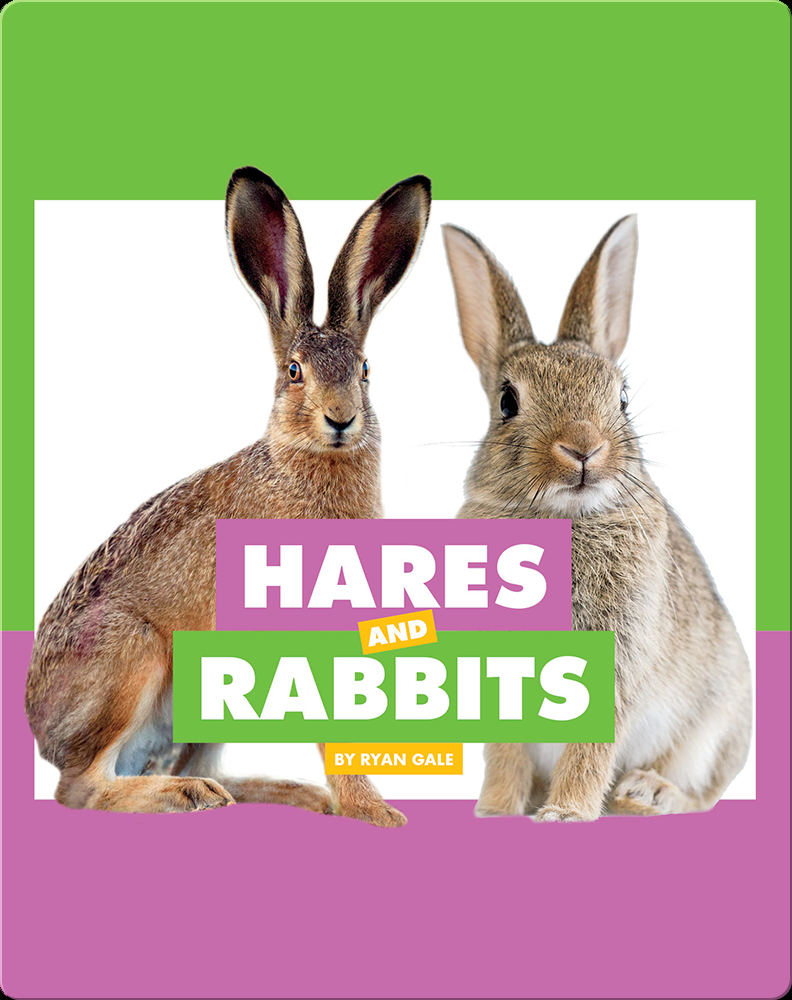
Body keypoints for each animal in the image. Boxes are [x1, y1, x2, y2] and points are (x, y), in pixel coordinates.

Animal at [25, 167, 431, 826]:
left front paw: (359, 805)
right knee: (81, 789)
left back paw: (278, 794)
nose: (341, 419)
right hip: (131, 657)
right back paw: (184, 795)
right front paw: (375, 812)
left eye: (366, 371)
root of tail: (40, 728)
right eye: (294, 372)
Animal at [442, 215, 752, 821]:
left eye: (623, 398)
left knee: (702, 792)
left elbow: (591, 743)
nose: (583, 447)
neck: (563, 516)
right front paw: (497, 809)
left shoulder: (618, 654)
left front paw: (565, 813)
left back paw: (647, 794)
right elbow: (505, 750)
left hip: (718, 719)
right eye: (507, 401)